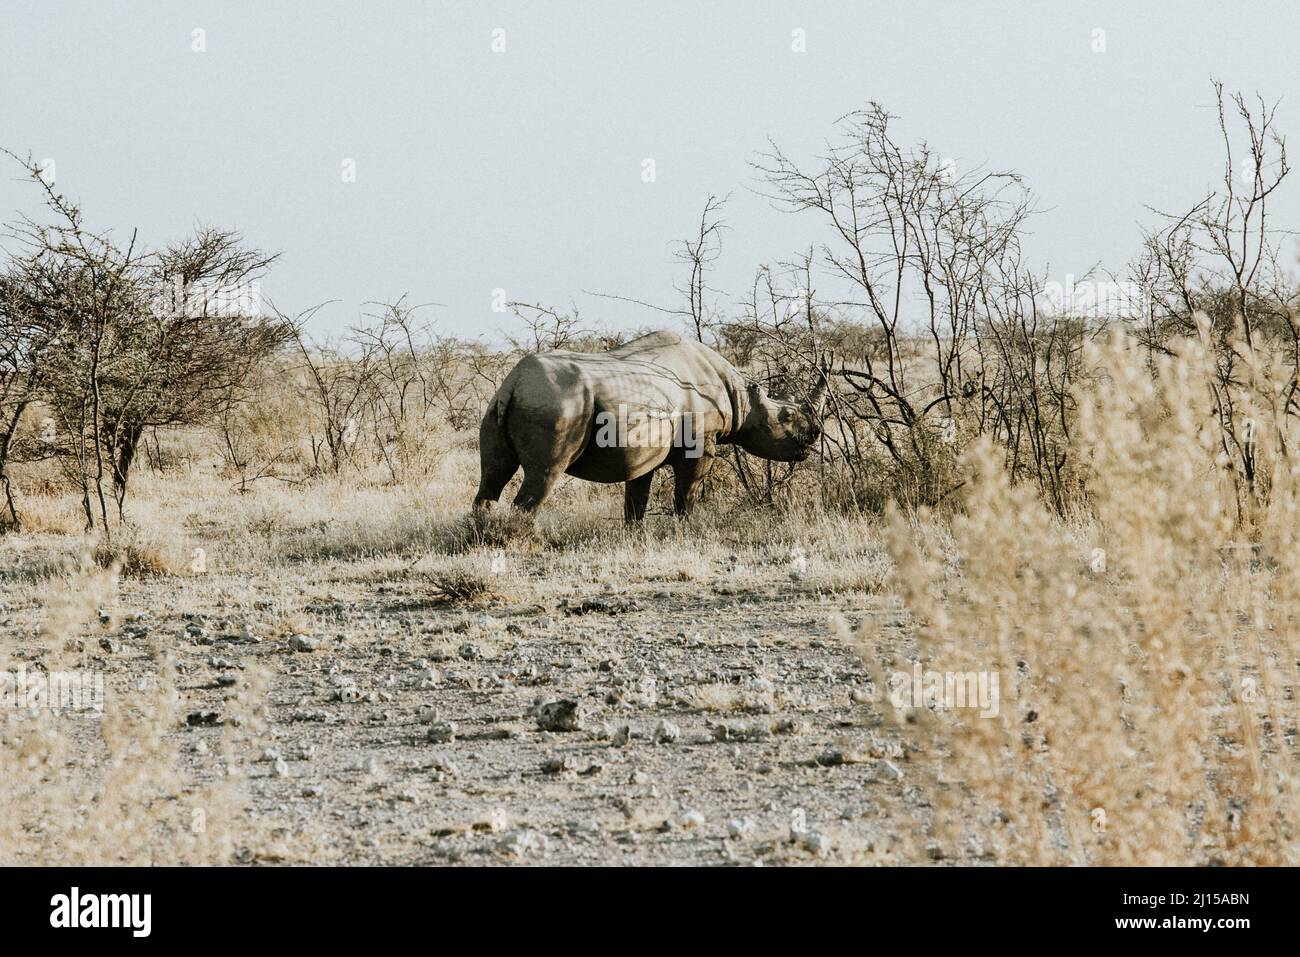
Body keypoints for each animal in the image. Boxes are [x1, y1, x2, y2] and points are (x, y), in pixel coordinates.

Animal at [474, 330, 826, 521]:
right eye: (787, 417)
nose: (814, 435)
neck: (742, 396)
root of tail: (514, 382)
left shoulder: (643, 453)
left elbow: (636, 498)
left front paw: (634, 535)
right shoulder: (701, 444)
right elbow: (687, 494)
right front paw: (687, 529)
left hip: (500, 404)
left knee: (492, 475)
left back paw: (484, 540)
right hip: (558, 404)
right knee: (543, 476)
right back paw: (519, 541)